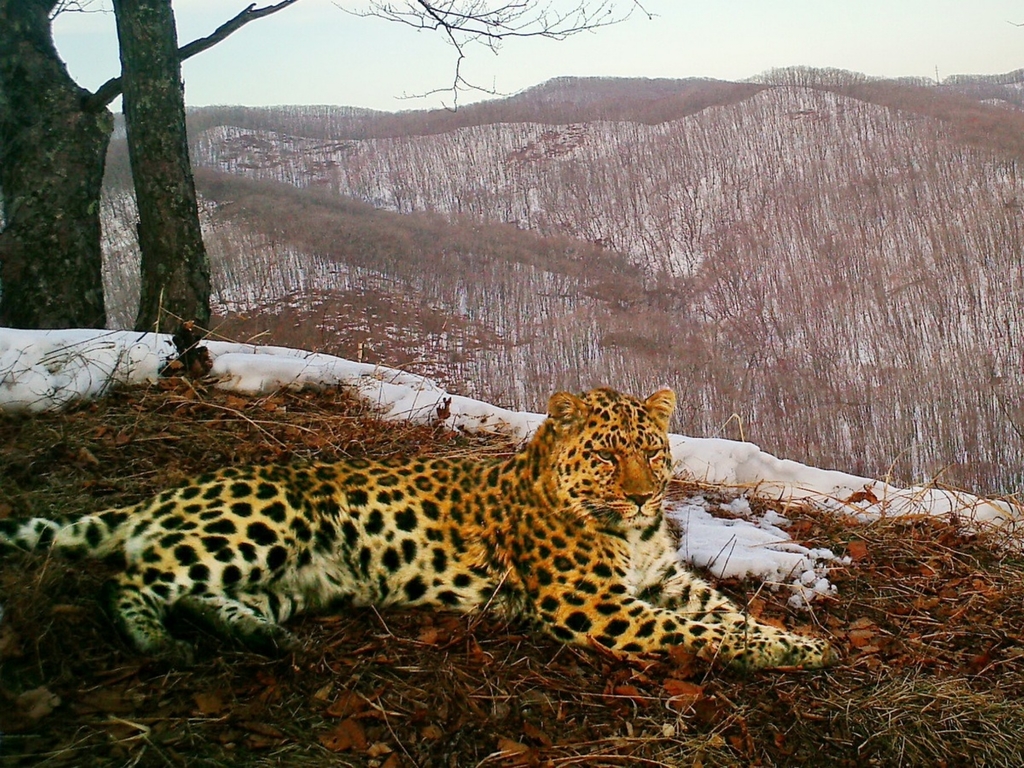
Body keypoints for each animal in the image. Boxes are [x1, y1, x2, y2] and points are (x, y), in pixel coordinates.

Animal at [0, 387, 835, 671]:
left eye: (653, 453)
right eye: (605, 456)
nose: (640, 498)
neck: (631, 538)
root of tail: (174, 490)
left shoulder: (662, 580)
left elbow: (723, 612)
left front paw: (795, 641)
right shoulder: (593, 604)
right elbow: (700, 632)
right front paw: (784, 655)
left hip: (293, 580)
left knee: (207, 595)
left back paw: (259, 637)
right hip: (265, 521)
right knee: (131, 578)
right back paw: (154, 642)